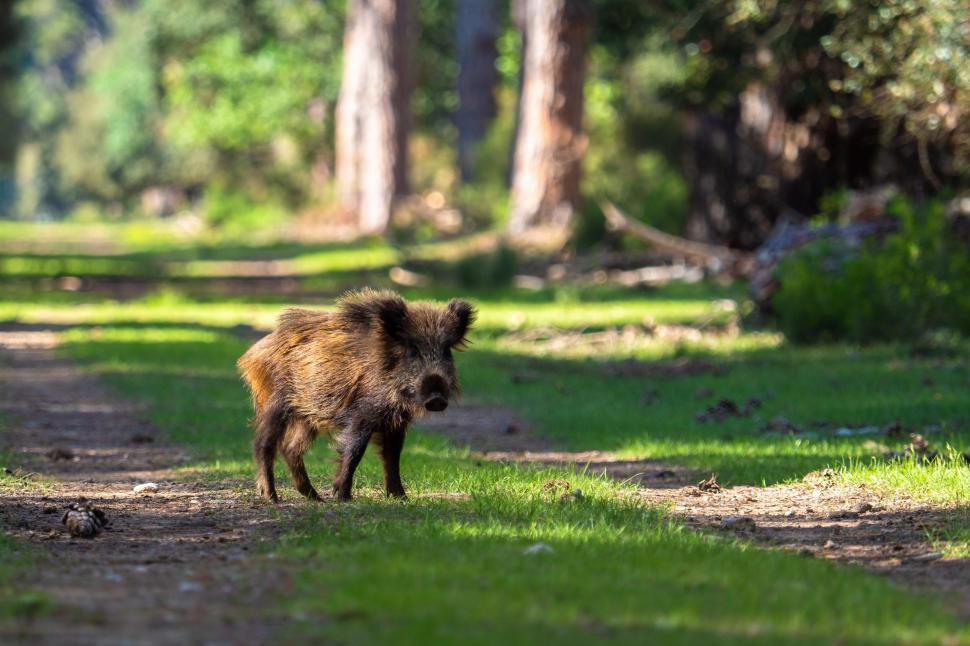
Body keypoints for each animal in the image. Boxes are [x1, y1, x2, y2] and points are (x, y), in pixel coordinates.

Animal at [237, 289, 475, 502]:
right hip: (276, 402)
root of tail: (252, 353)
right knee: (263, 444)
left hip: (307, 416)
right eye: (412, 349)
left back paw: (315, 498)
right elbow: (354, 451)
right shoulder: (361, 414)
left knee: (290, 448)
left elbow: (393, 456)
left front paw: (401, 498)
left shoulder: (396, 421)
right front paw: (343, 497)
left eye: (446, 350)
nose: (437, 398)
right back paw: (272, 497)